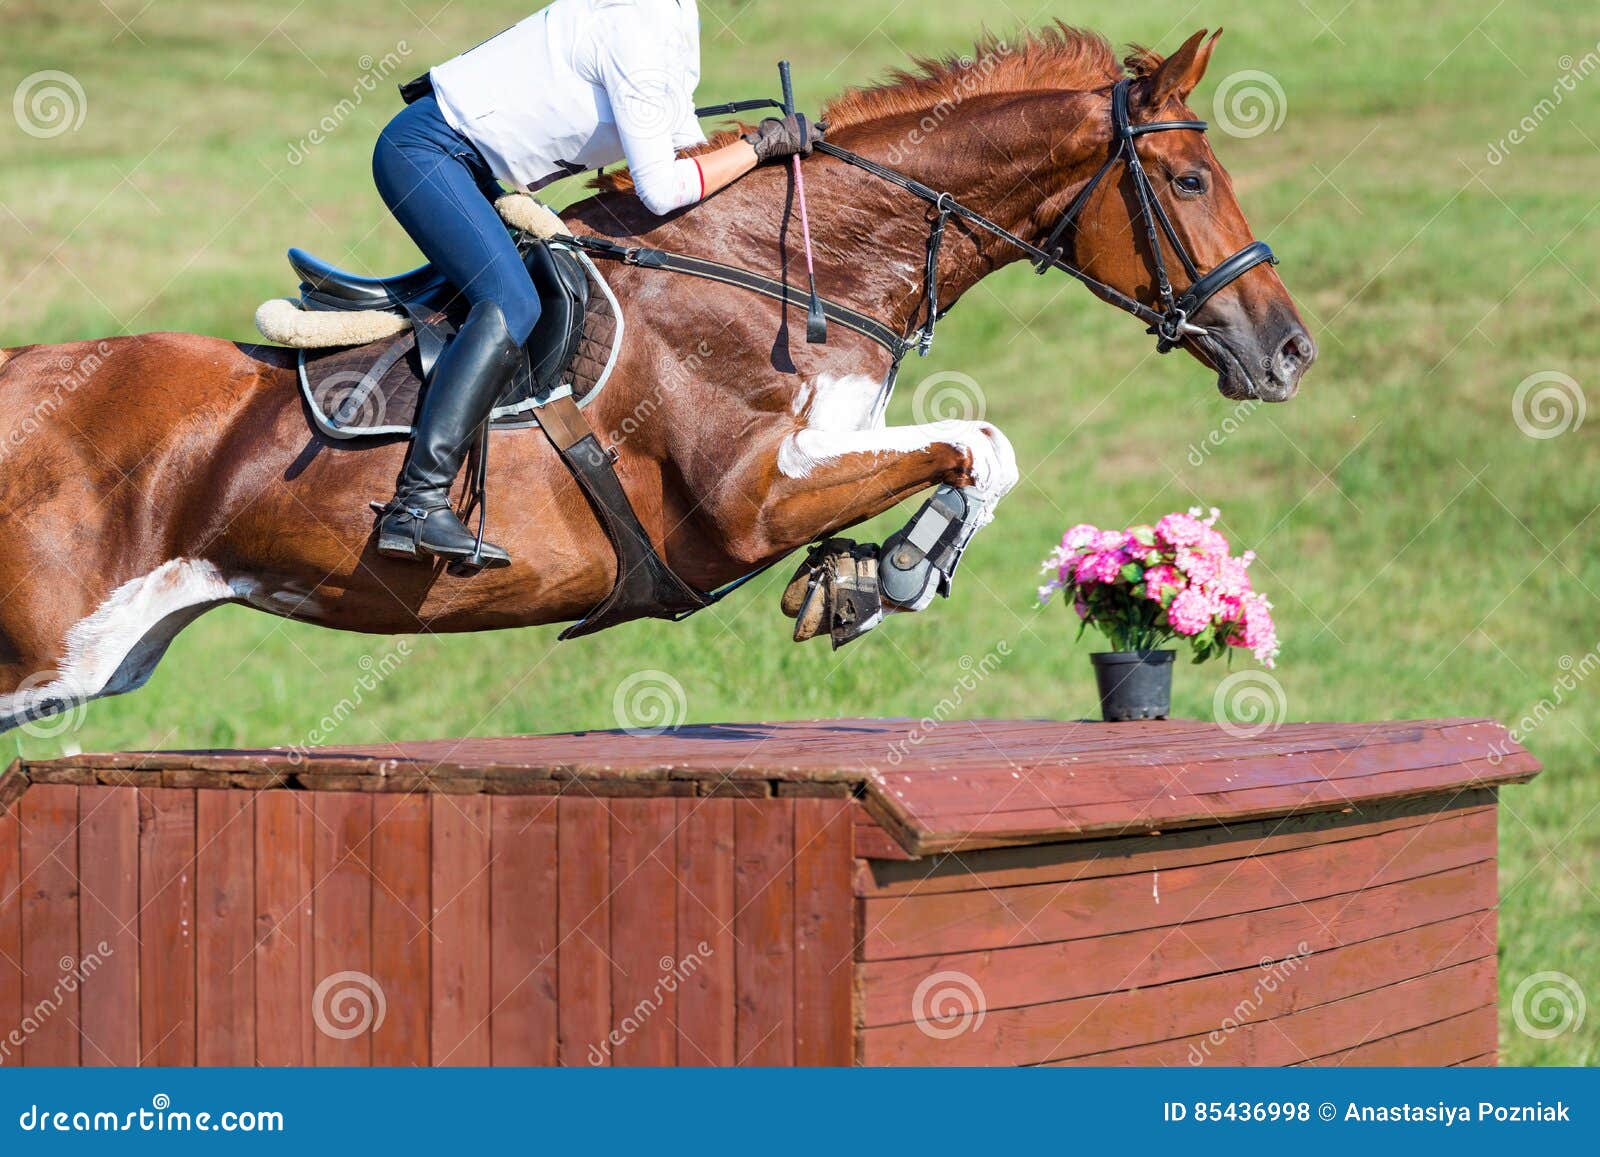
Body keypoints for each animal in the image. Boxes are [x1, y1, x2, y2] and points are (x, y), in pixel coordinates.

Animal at [0, 26, 1314, 736]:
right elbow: (981, 442)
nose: (1289, 351)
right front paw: (891, 572)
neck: (792, 265)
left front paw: (857, 578)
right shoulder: (743, 501)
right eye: (1190, 181)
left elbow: (971, 451)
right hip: (45, 655)